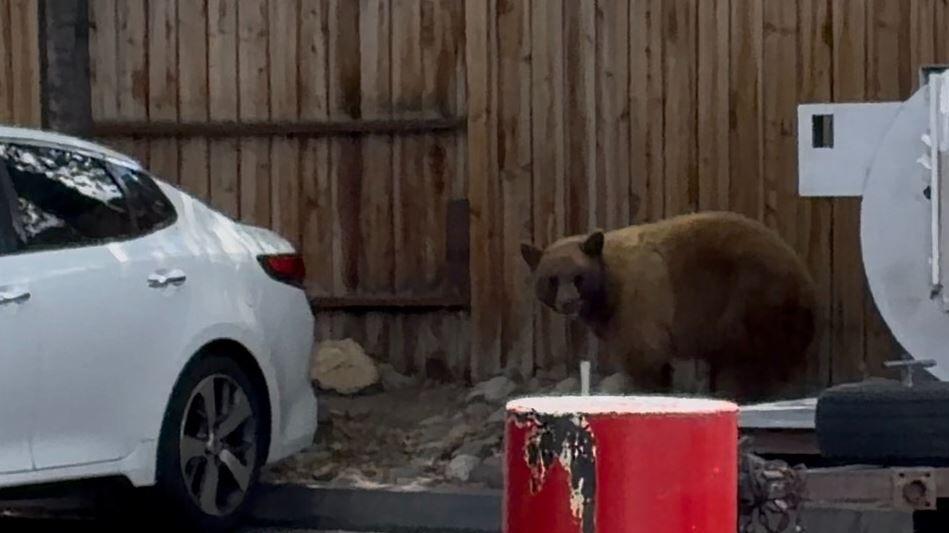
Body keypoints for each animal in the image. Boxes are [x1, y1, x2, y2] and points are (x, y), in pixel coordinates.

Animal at [520, 211, 818, 403]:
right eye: (552, 279)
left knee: (752, 359)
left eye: (578, 277)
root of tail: (804, 280)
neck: (608, 290)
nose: (567, 302)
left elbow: (644, 354)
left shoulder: (638, 301)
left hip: (752, 301)